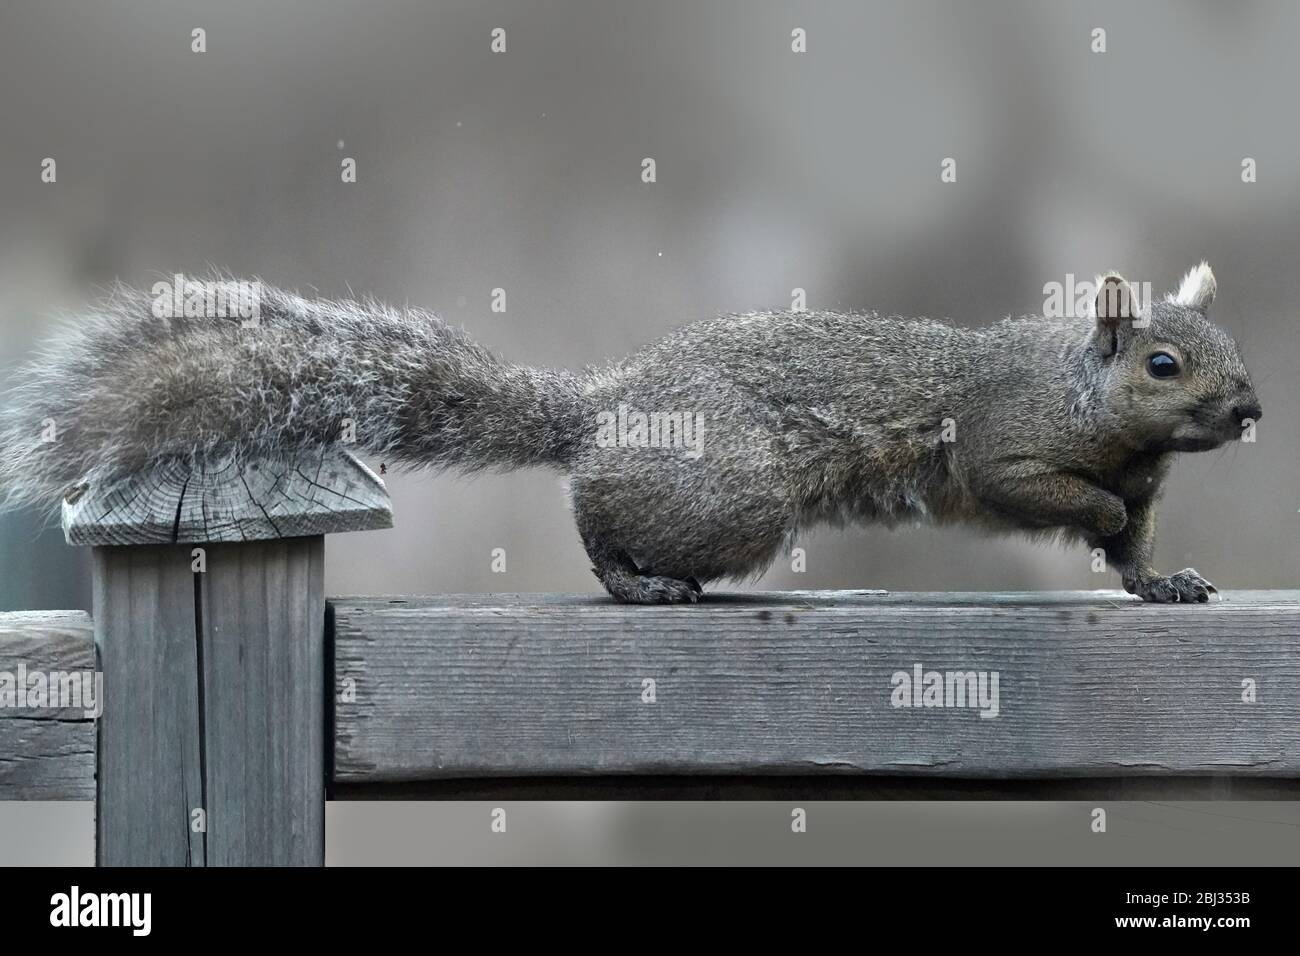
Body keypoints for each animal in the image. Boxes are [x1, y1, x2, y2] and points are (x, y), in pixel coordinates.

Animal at [0, 262, 1260, 604]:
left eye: (1231, 344)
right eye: (1162, 364)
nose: (1250, 409)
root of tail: (608, 406)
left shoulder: (1150, 485)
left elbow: (1134, 543)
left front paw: (1163, 580)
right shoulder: (1001, 446)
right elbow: (1051, 494)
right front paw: (1099, 511)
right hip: (732, 497)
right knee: (592, 511)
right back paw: (633, 577)